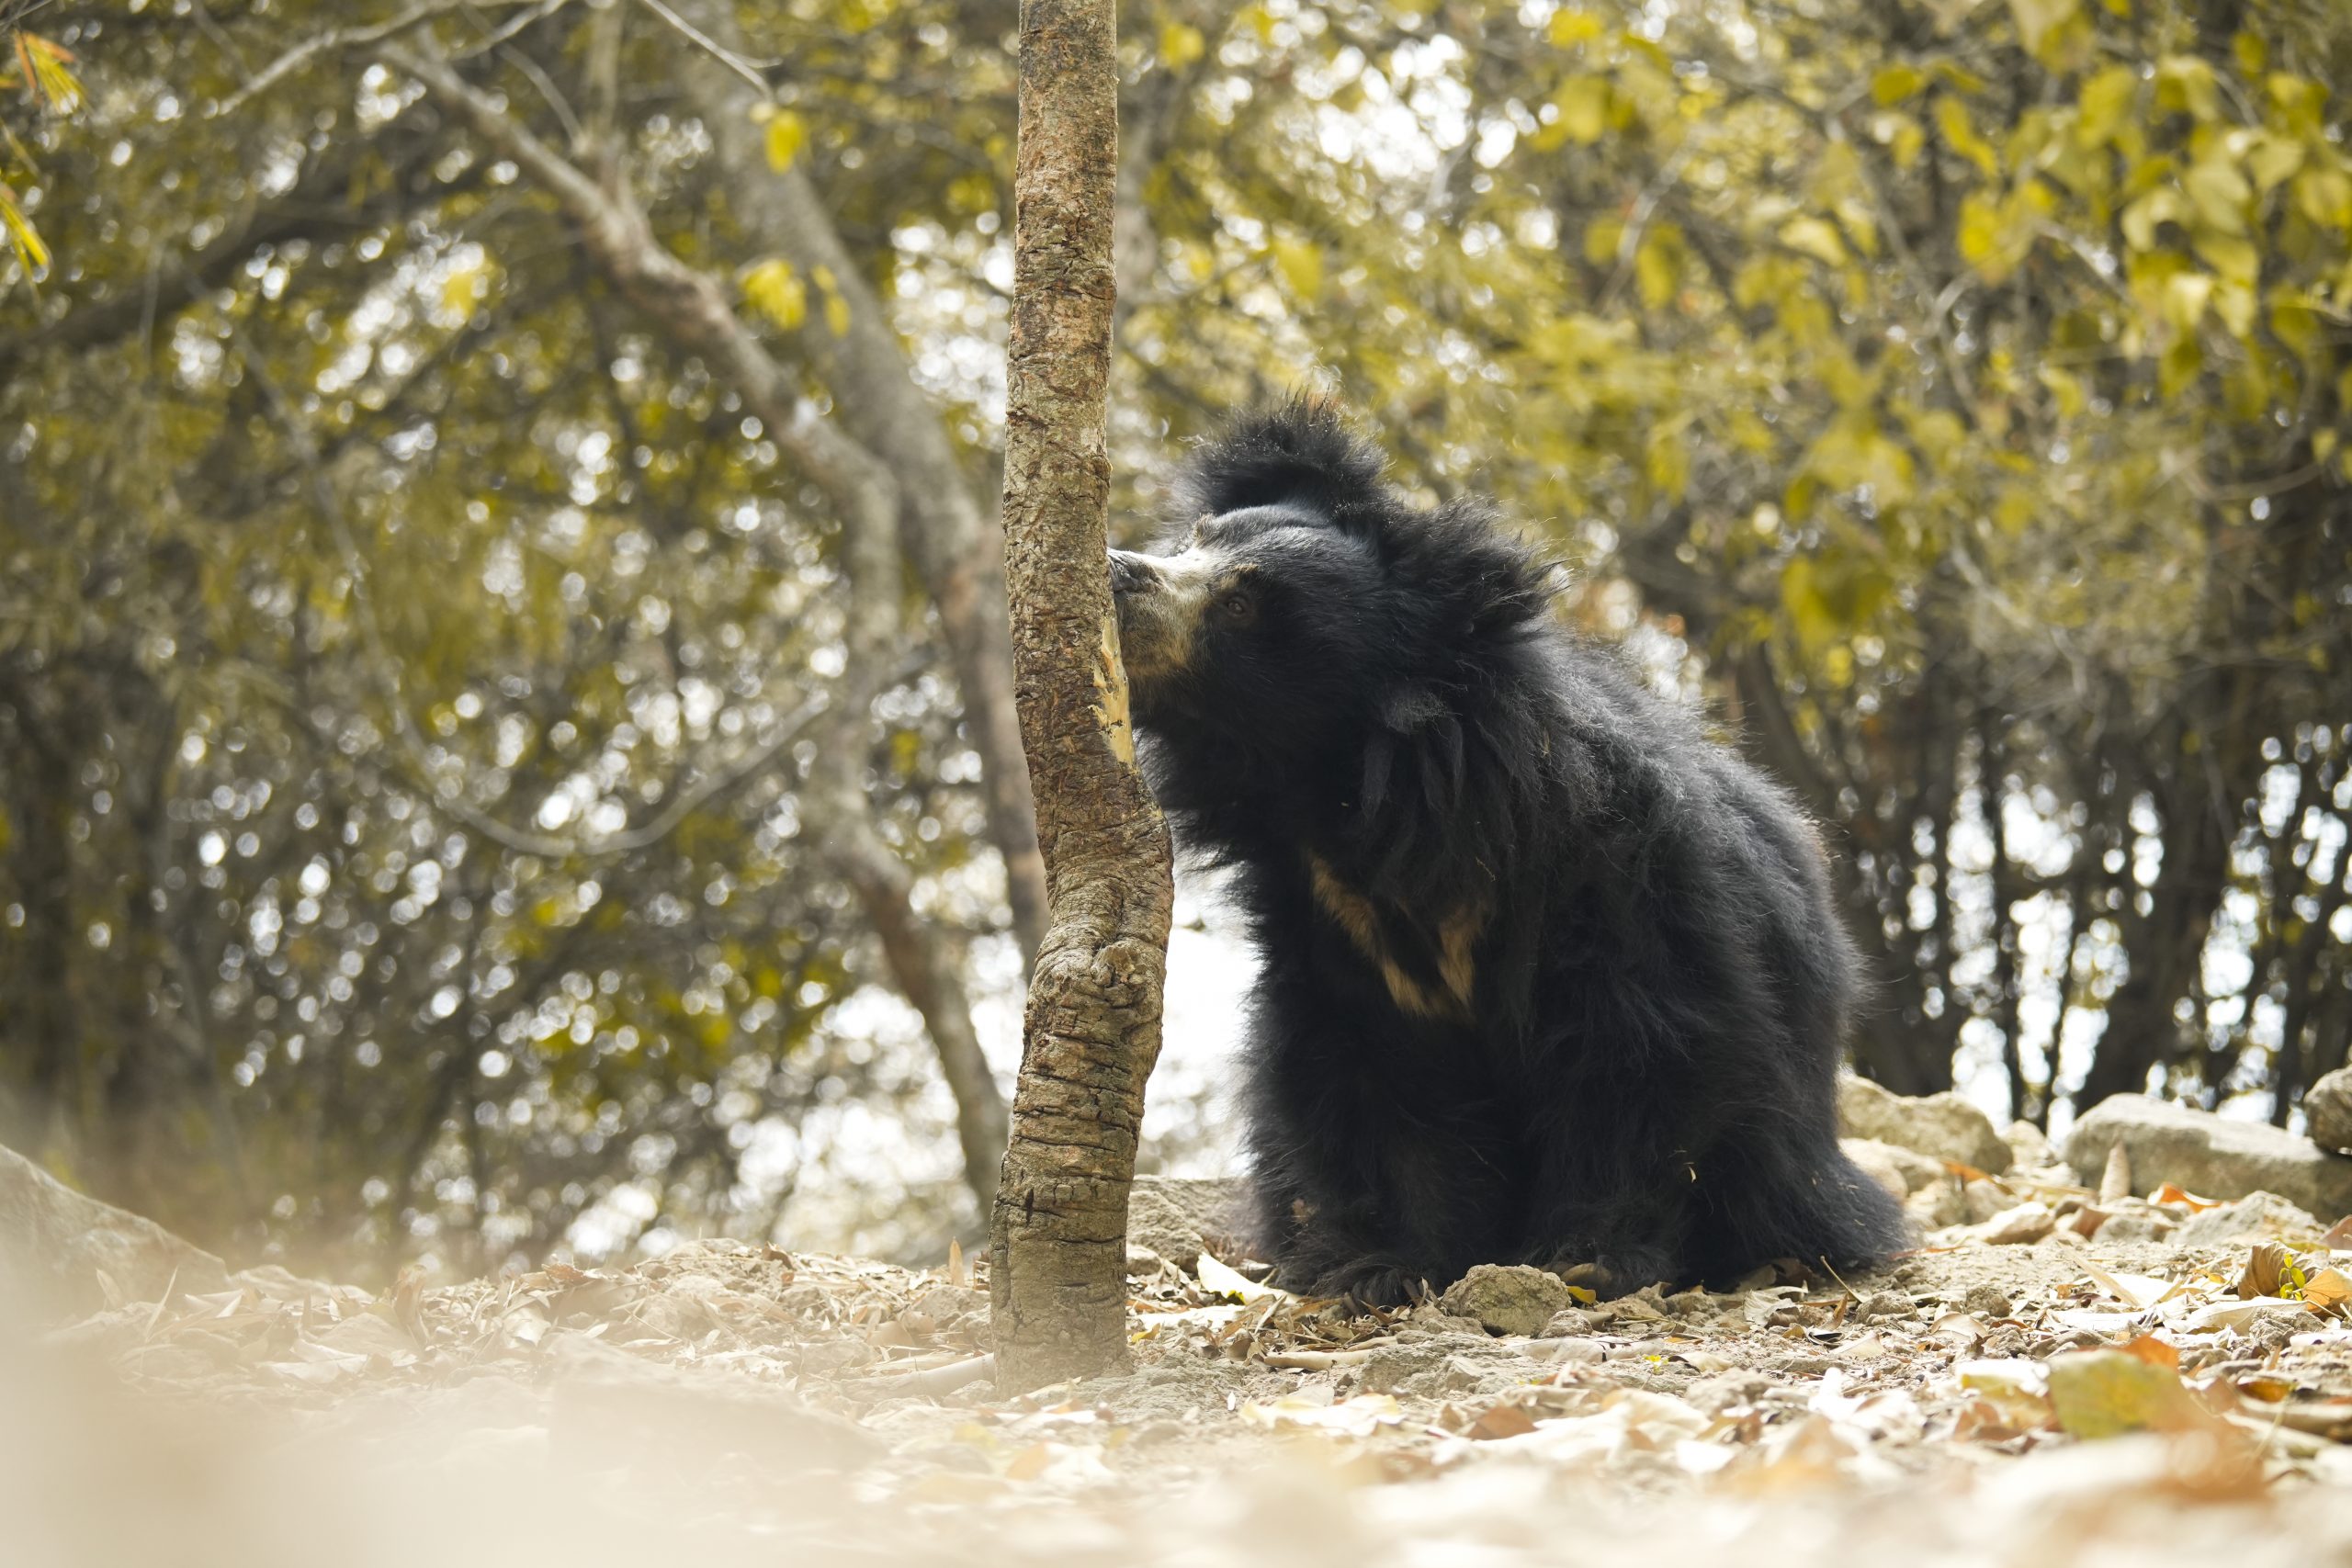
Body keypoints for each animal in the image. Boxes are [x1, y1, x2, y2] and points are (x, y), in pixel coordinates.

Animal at [1110, 401, 1910, 1305]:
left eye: (1244, 604)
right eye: (1197, 537)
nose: (1116, 570)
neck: (1365, 805)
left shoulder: (1619, 880)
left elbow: (1639, 1053)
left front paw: (1583, 1258)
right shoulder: (1336, 934)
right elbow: (1368, 1083)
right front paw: (1380, 1266)